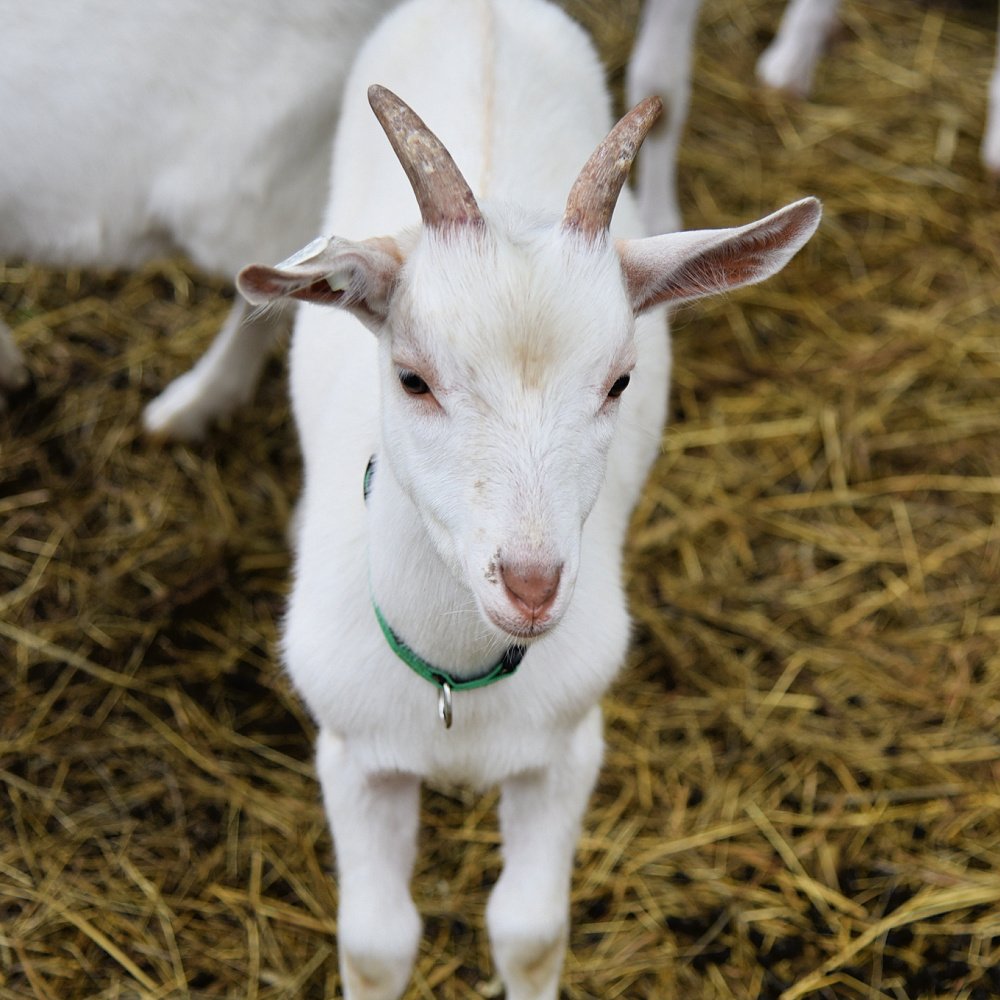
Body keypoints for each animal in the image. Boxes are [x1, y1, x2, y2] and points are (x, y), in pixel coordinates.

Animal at [235, 0, 821, 995]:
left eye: (620, 381)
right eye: (412, 377)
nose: (533, 584)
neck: (457, 679)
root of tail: (482, 12)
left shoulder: (566, 751)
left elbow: (529, 930)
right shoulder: (354, 758)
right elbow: (376, 944)